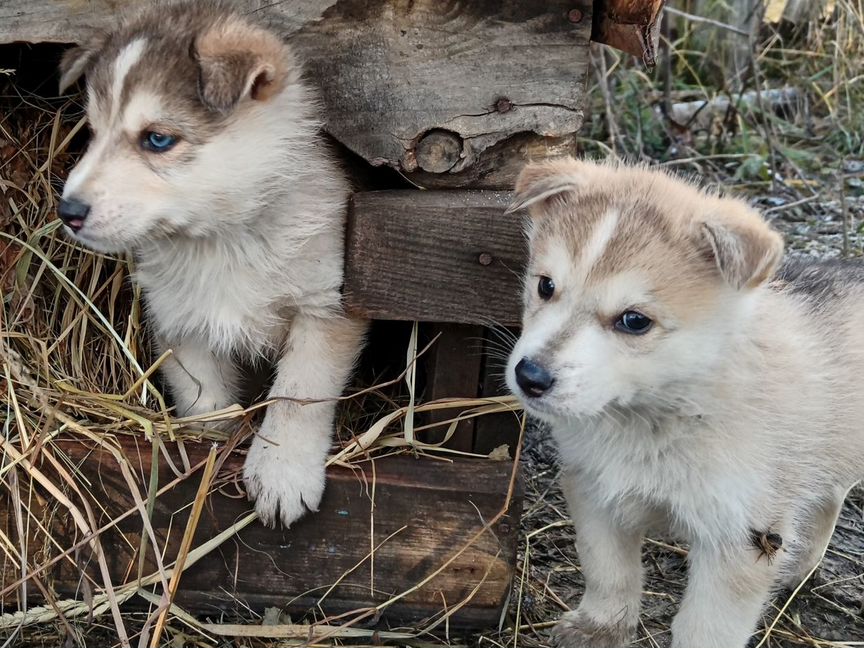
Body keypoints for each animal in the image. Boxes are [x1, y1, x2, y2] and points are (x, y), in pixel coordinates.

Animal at [56, 0, 368, 528]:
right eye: (93, 135)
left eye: (157, 140)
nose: (68, 211)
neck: (221, 240)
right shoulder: (180, 324)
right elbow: (205, 403)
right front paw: (212, 447)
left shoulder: (325, 307)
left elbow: (299, 393)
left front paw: (282, 469)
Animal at [506, 157, 864, 648]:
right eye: (545, 286)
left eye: (634, 320)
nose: (530, 377)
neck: (655, 417)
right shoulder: (594, 489)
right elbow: (607, 570)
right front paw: (600, 627)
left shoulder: (741, 537)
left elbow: (706, 627)